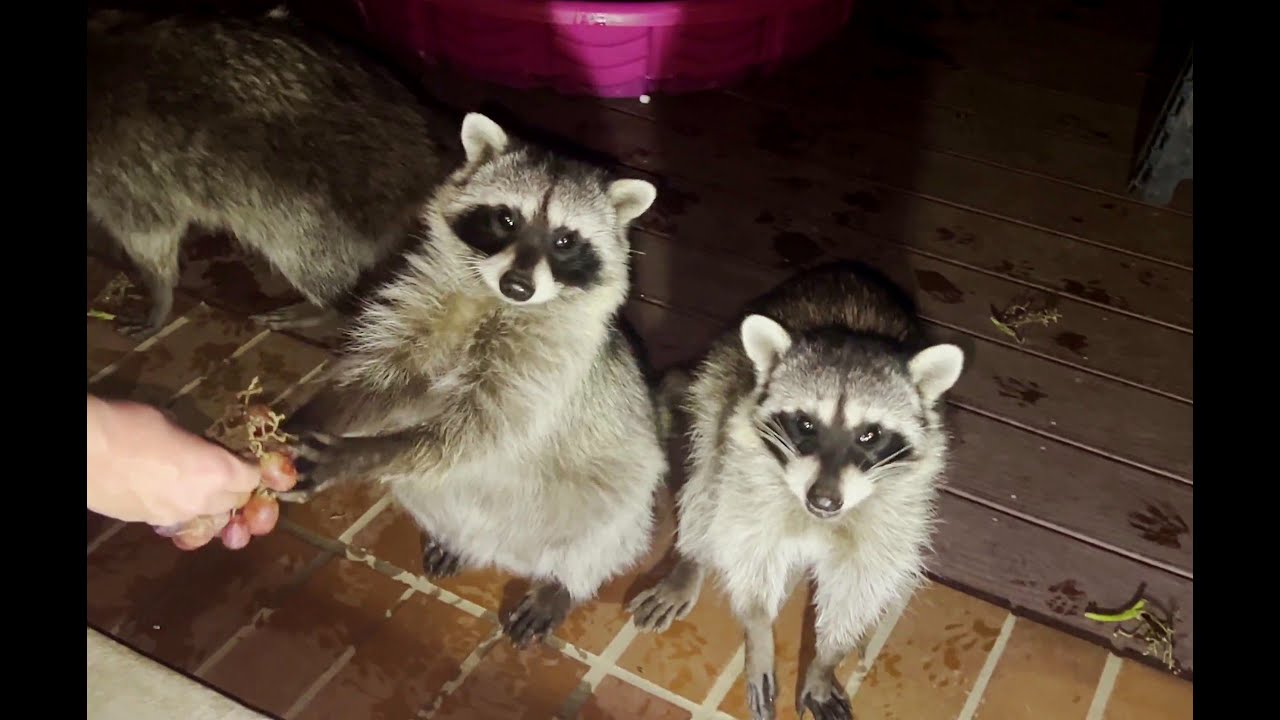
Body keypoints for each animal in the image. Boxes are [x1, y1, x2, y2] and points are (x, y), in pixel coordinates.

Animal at [87, 7, 445, 338]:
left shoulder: (123, 177)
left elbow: (152, 237)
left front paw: (160, 296)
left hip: (310, 207)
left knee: (310, 257)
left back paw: (326, 307)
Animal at [278, 113, 667, 648]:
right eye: (507, 219)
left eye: (565, 240)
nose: (517, 286)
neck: (493, 301)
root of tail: (503, 553)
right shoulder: (419, 306)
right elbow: (379, 380)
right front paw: (317, 412)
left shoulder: (553, 369)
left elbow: (480, 431)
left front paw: (364, 452)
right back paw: (454, 539)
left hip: (617, 497)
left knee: (609, 532)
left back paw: (566, 582)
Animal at [626, 262, 965, 720]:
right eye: (805, 424)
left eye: (869, 435)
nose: (822, 500)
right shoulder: (748, 466)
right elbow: (746, 545)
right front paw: (758, 632)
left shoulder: (897, 504)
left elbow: (861, 580)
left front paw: (826, 659)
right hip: (718, 387)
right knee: (707, 486)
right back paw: (692, 558)